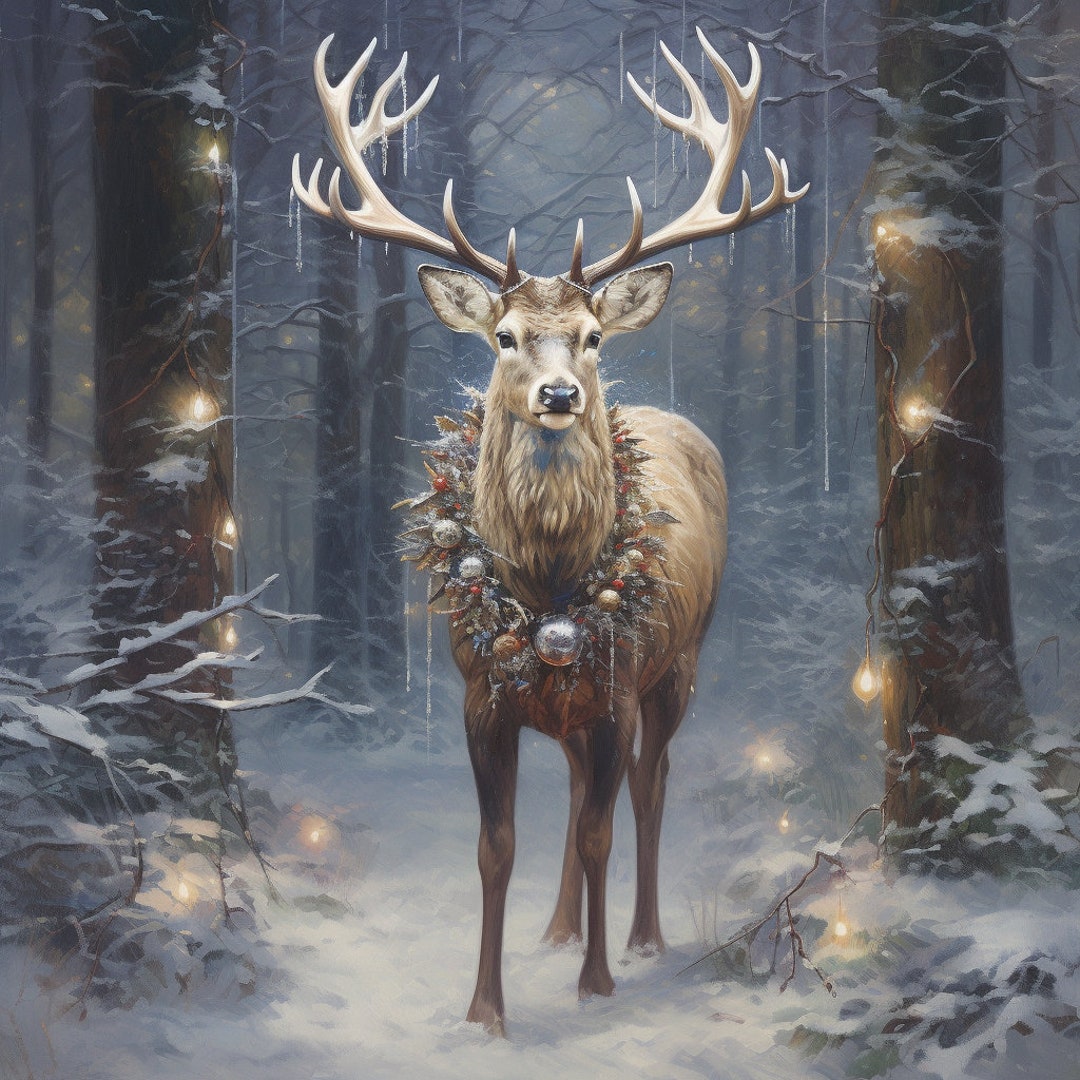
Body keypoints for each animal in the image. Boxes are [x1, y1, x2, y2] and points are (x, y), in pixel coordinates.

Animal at [293, 28, 806, 1035]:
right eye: (503, 336)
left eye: (594, 336)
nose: (562, 394)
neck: (548, 587)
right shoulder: (479, 695)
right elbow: (497, 847)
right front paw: (485, 1007)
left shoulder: (614, 687)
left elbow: (605, 828)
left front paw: (598, 983)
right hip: (574, 700)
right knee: (575, 786)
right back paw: (560, 927)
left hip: (677, 660)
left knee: (648, 784)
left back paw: (637, 937)